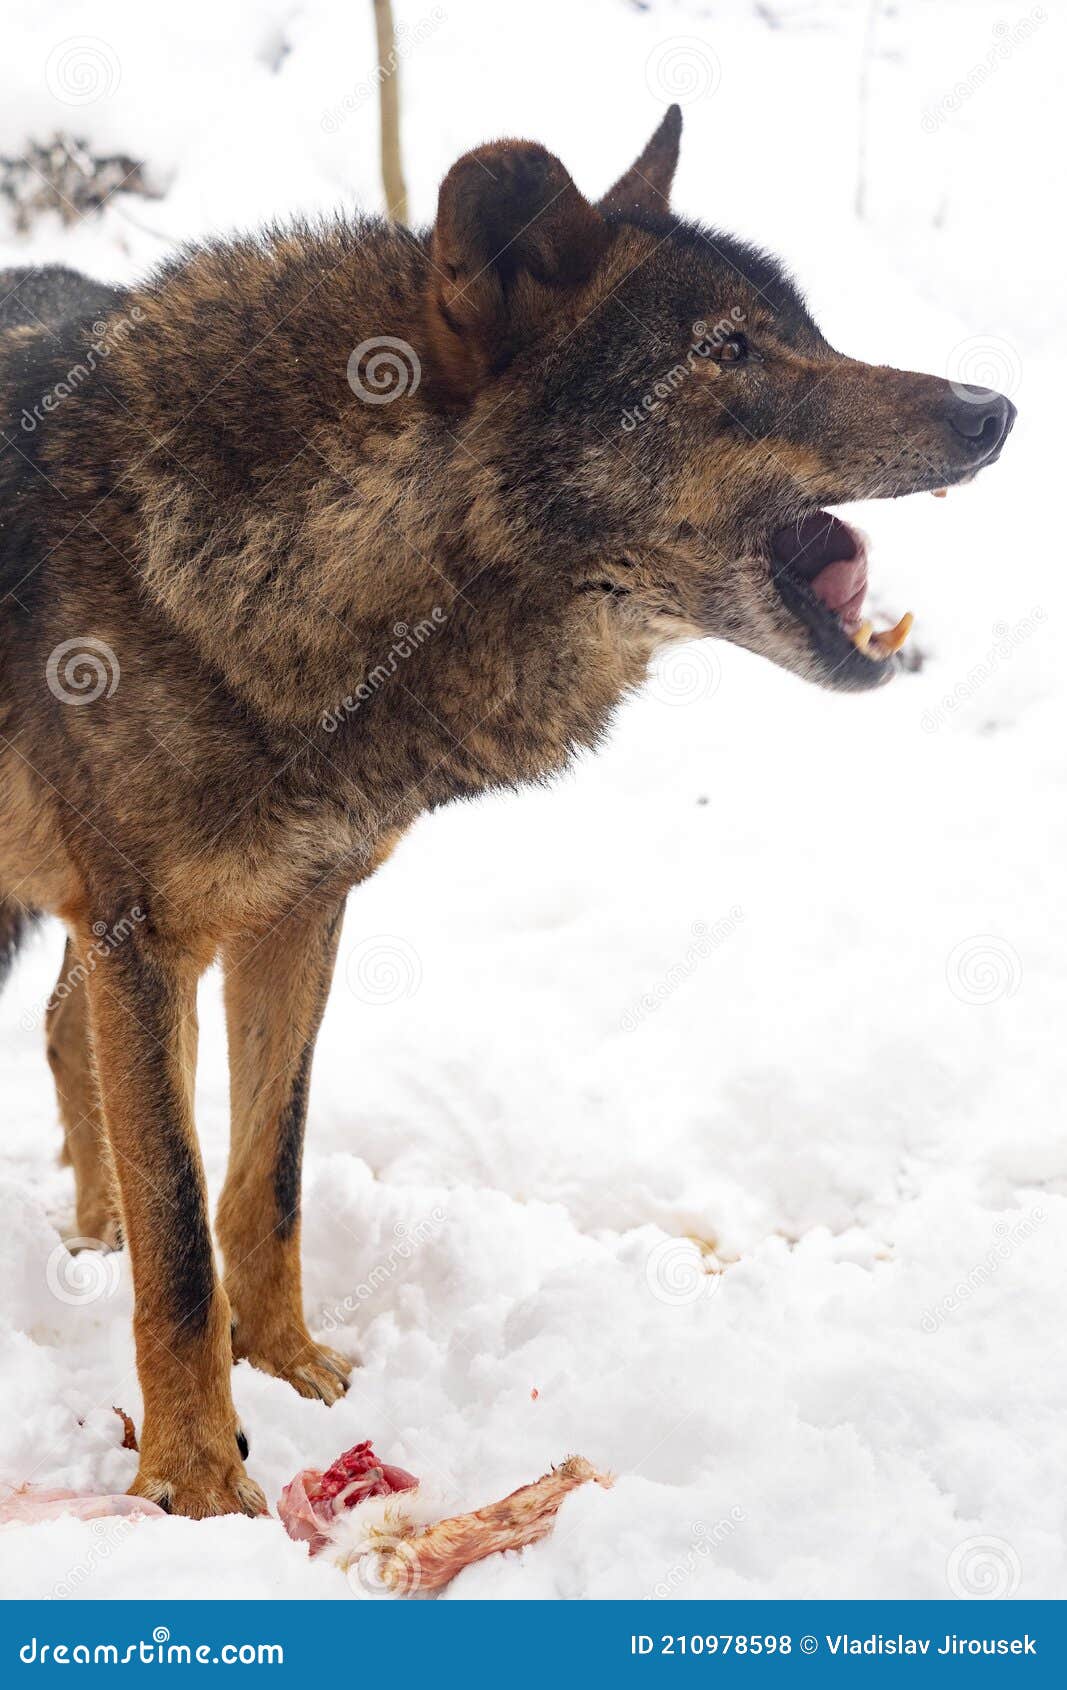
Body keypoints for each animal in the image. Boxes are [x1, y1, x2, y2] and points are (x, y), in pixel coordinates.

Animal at [0, 106, 1014, 1516]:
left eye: (802, 329)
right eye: (724, 349)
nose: (993, 410)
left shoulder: (294, 912)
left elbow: (262, 1184)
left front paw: (293, 1374)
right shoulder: (145, 935)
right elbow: (184, 1237)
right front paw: (197, 1484)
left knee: (61, 1031)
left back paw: (90, 1241)